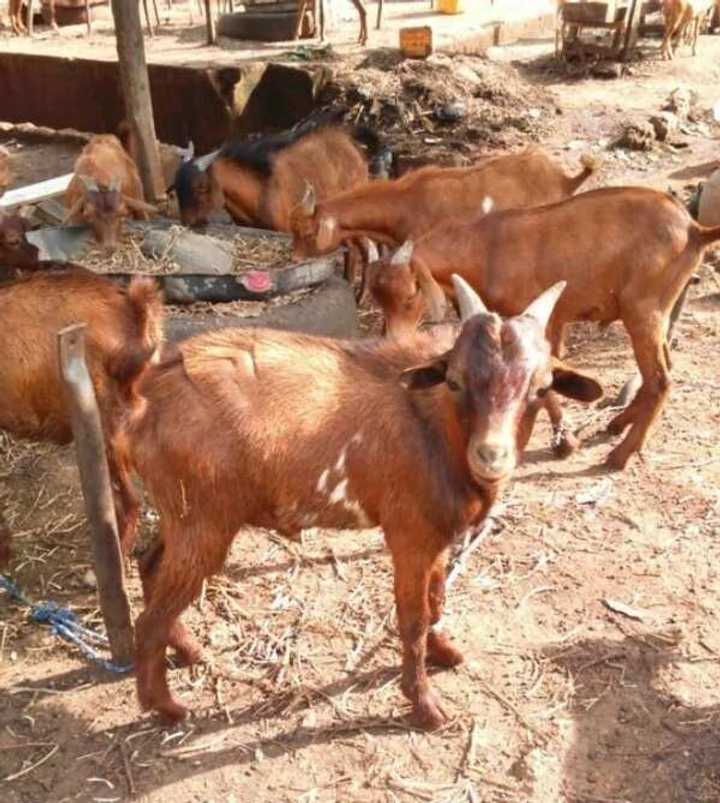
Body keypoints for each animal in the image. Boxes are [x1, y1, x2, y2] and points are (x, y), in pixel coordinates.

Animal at [114, 278, 602, 728]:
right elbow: (413, 617)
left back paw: (189, 651)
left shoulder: (439, 536)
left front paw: (446, 653)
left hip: (186, 516)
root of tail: (144, 400)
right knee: (151, 618)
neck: (432, 424)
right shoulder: (409, 535)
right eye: (455, 380)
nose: (491, 455)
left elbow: (437, 598)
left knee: (150, 565)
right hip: (204, 522)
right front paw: (425, 705)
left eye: (542, 387)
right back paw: (168, 708)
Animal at [369, 186, 720, 470]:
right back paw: (619, 423)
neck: (486, 249)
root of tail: (695, 229)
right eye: (377, 295)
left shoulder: (539, 322)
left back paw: (619, 456)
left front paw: (566, 444)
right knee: (661, 370)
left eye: (410, 294)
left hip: (643, 311)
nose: (394, 338)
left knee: (661, 380)